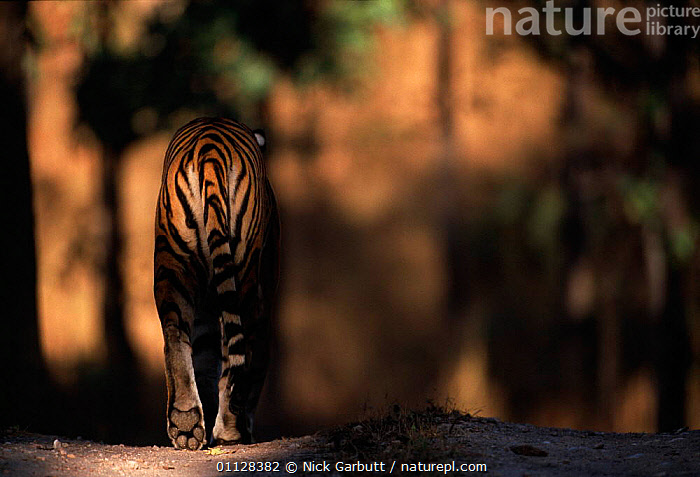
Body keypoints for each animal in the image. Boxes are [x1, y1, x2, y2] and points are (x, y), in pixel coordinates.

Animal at [154, 117, 279, 450]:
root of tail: (210, 151)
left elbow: (205, 361)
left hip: (173, 264)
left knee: (175, 334)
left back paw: (185, 424)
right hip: (247, 276)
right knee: (243, 350)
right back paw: (231, 429)